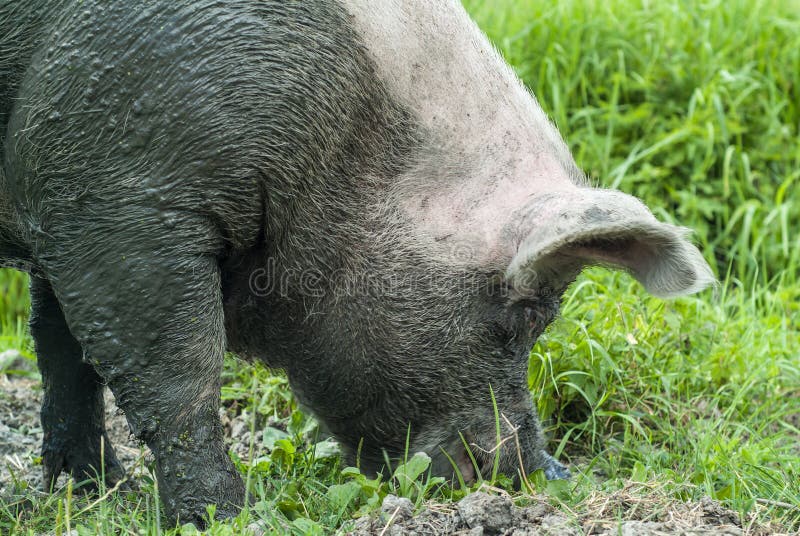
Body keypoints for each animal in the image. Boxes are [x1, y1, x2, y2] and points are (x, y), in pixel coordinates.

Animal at [0, 0, 714, 526]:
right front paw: (231, 517)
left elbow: (63, 352)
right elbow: (175, 374)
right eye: (523, 318)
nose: (528, 470)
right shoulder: (118, 196)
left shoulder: (61, 211)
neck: (344, 138)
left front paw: (94, 493)